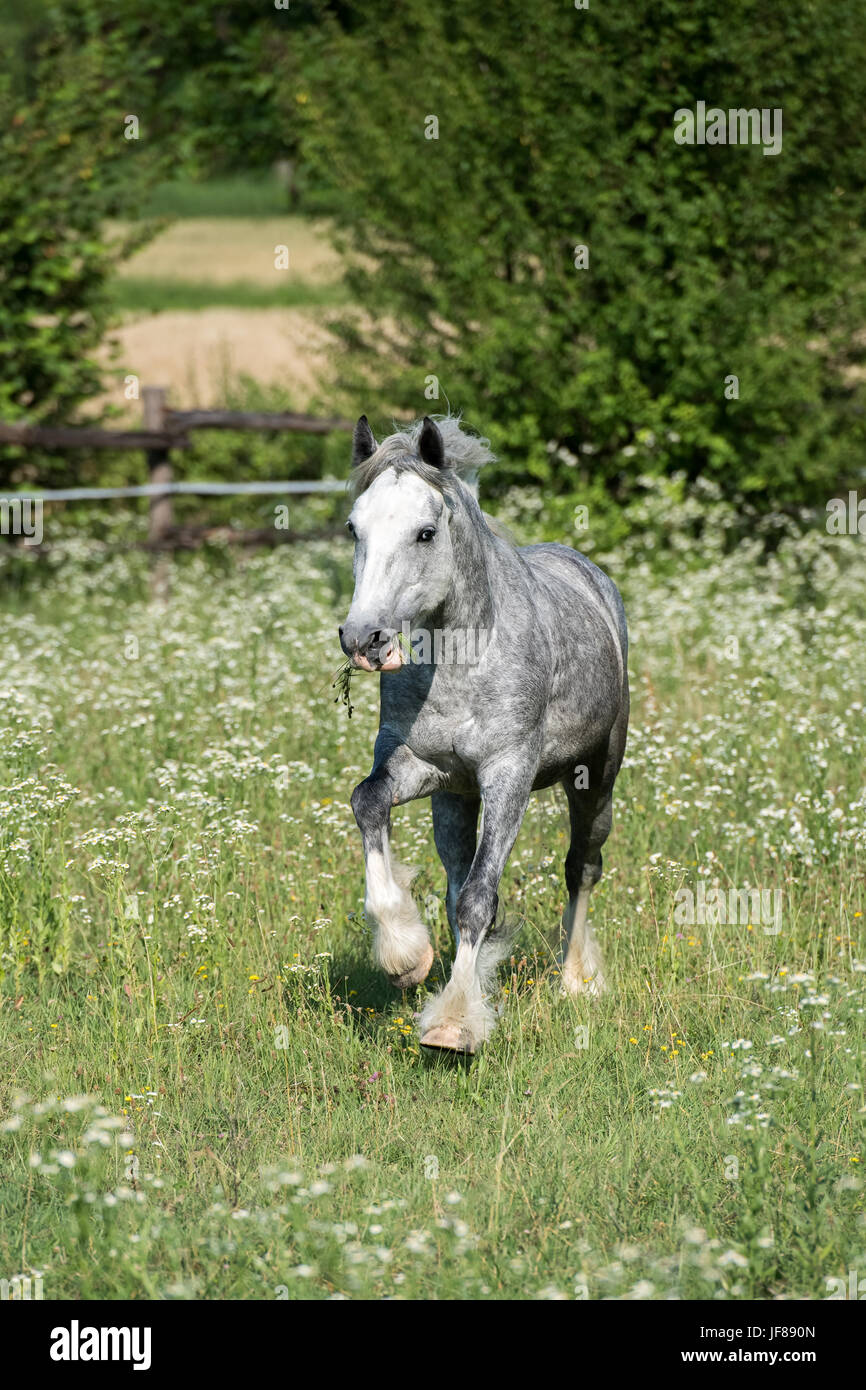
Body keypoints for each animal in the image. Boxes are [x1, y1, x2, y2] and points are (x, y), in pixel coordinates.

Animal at [339, 414, 629, 1053]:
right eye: (353, 528)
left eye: (425, 533)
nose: (362, 638)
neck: (465, 658)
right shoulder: (419, 766)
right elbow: (367, 800)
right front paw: (406, 958)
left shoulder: (508, 775)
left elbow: (480, 896)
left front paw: (454, 1024)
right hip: (454, 800)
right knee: (454, 877)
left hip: (596, 778)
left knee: (582, 867)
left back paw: (576, 980)